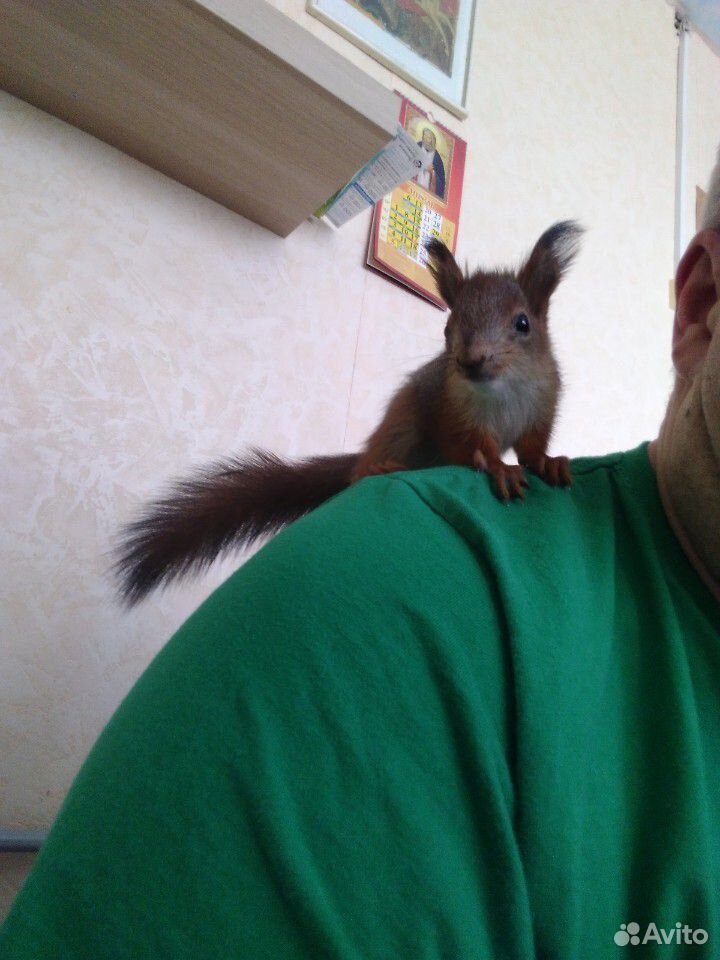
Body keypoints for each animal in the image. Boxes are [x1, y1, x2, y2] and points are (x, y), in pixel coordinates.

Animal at [115, 220, 582, 604]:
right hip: (402, 422)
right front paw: (499, 467)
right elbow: (471, 446)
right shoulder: (453, 411)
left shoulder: (543, 405)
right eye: (447, 327)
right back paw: (377, 469)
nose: (470, 361)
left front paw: (547, 462)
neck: (504, 391)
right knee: (363, 470)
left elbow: (532, 445)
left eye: (523, 324)